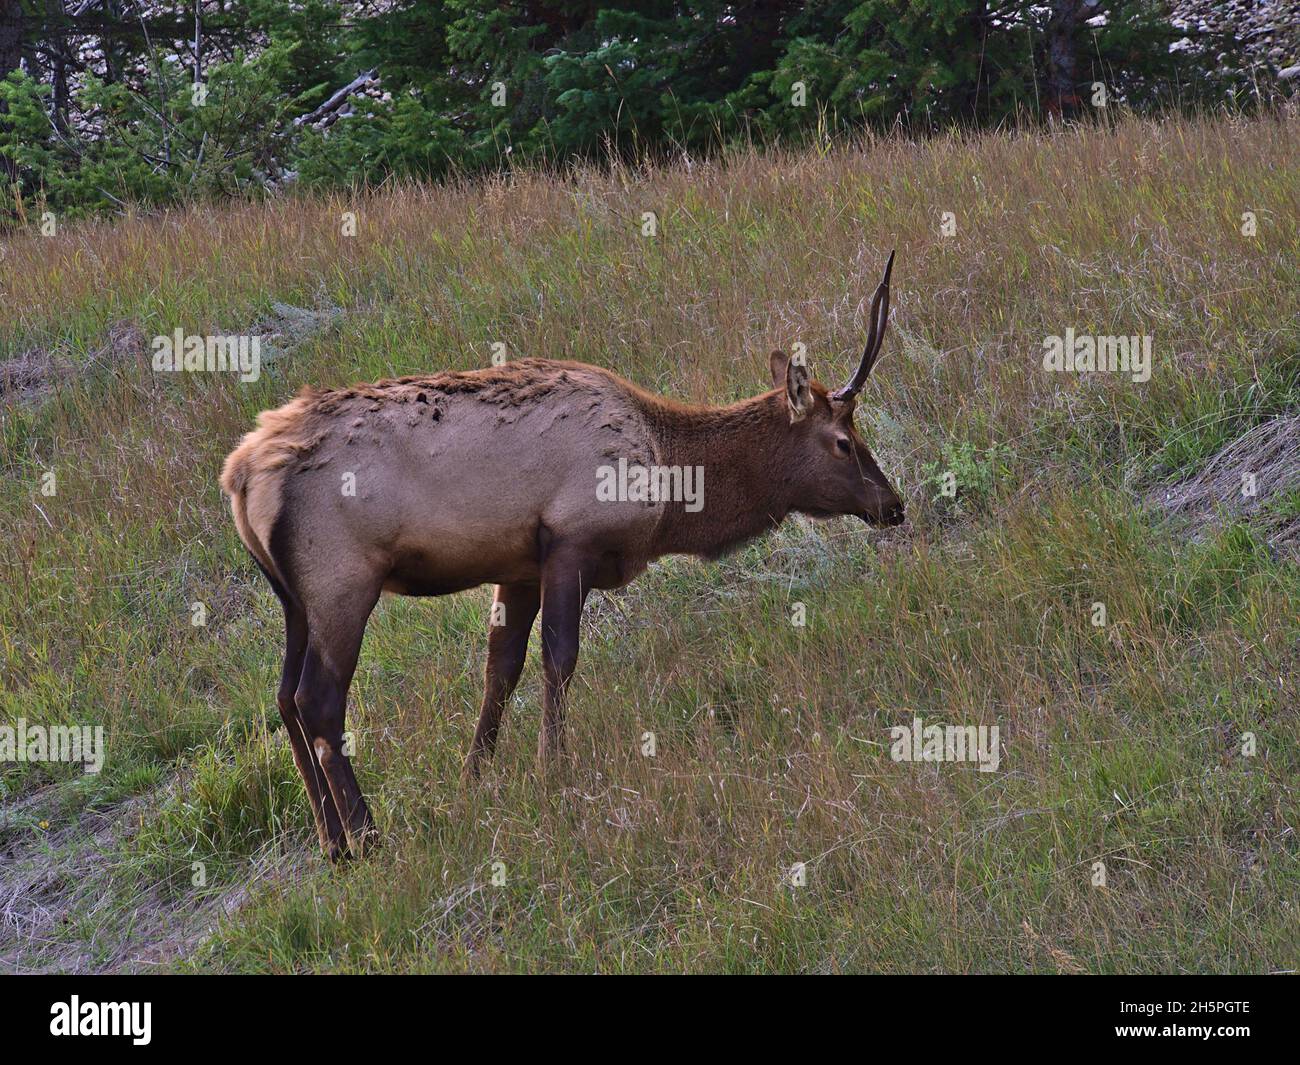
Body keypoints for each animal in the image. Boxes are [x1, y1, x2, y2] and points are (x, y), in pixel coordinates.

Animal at [220, 252, 903, 860]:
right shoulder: (570, 541)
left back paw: (330, 840)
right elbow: (559, 659)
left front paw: (475, 776)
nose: (893, 504)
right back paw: (365, 836)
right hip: (342, 580)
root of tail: (241, 473)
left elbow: (500, 670)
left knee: (283, 698)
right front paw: (556, 770)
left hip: (293, 596)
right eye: (843, 441)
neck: (666, 480)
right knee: (318, 700)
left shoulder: (518, 567)